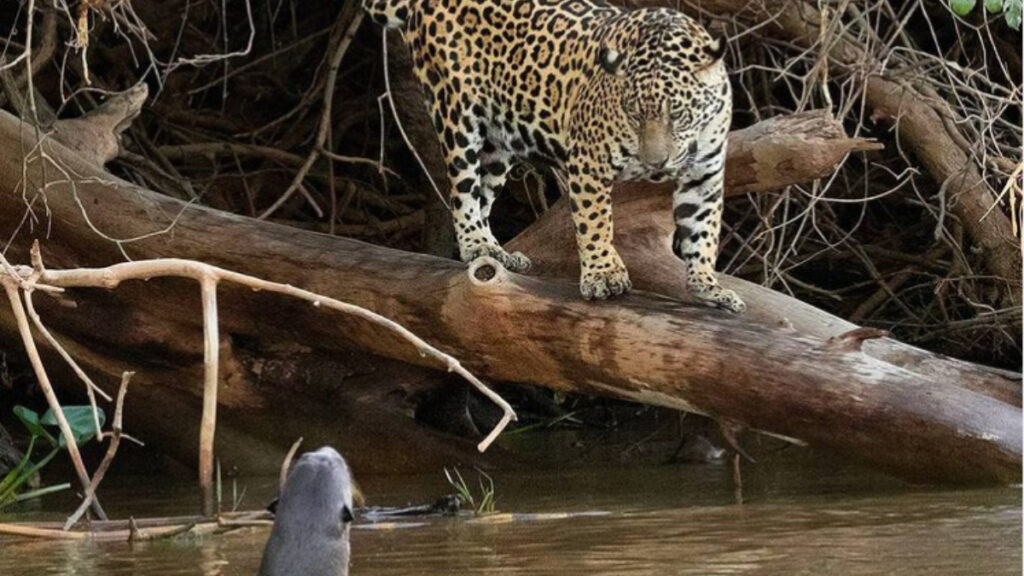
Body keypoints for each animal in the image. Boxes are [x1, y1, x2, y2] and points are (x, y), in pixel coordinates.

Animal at [363, 0, 745, 312]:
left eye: (677, 114)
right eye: (634, 114)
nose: (656, 164)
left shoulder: (704, 174)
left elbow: (704, 230)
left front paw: (707, 286)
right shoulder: (590, 159)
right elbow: (596, 222)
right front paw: (603, 274)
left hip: (498, 144)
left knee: (482, 196)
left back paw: (497, 252)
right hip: (457, 111)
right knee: (462, 190)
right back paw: (476, 244)